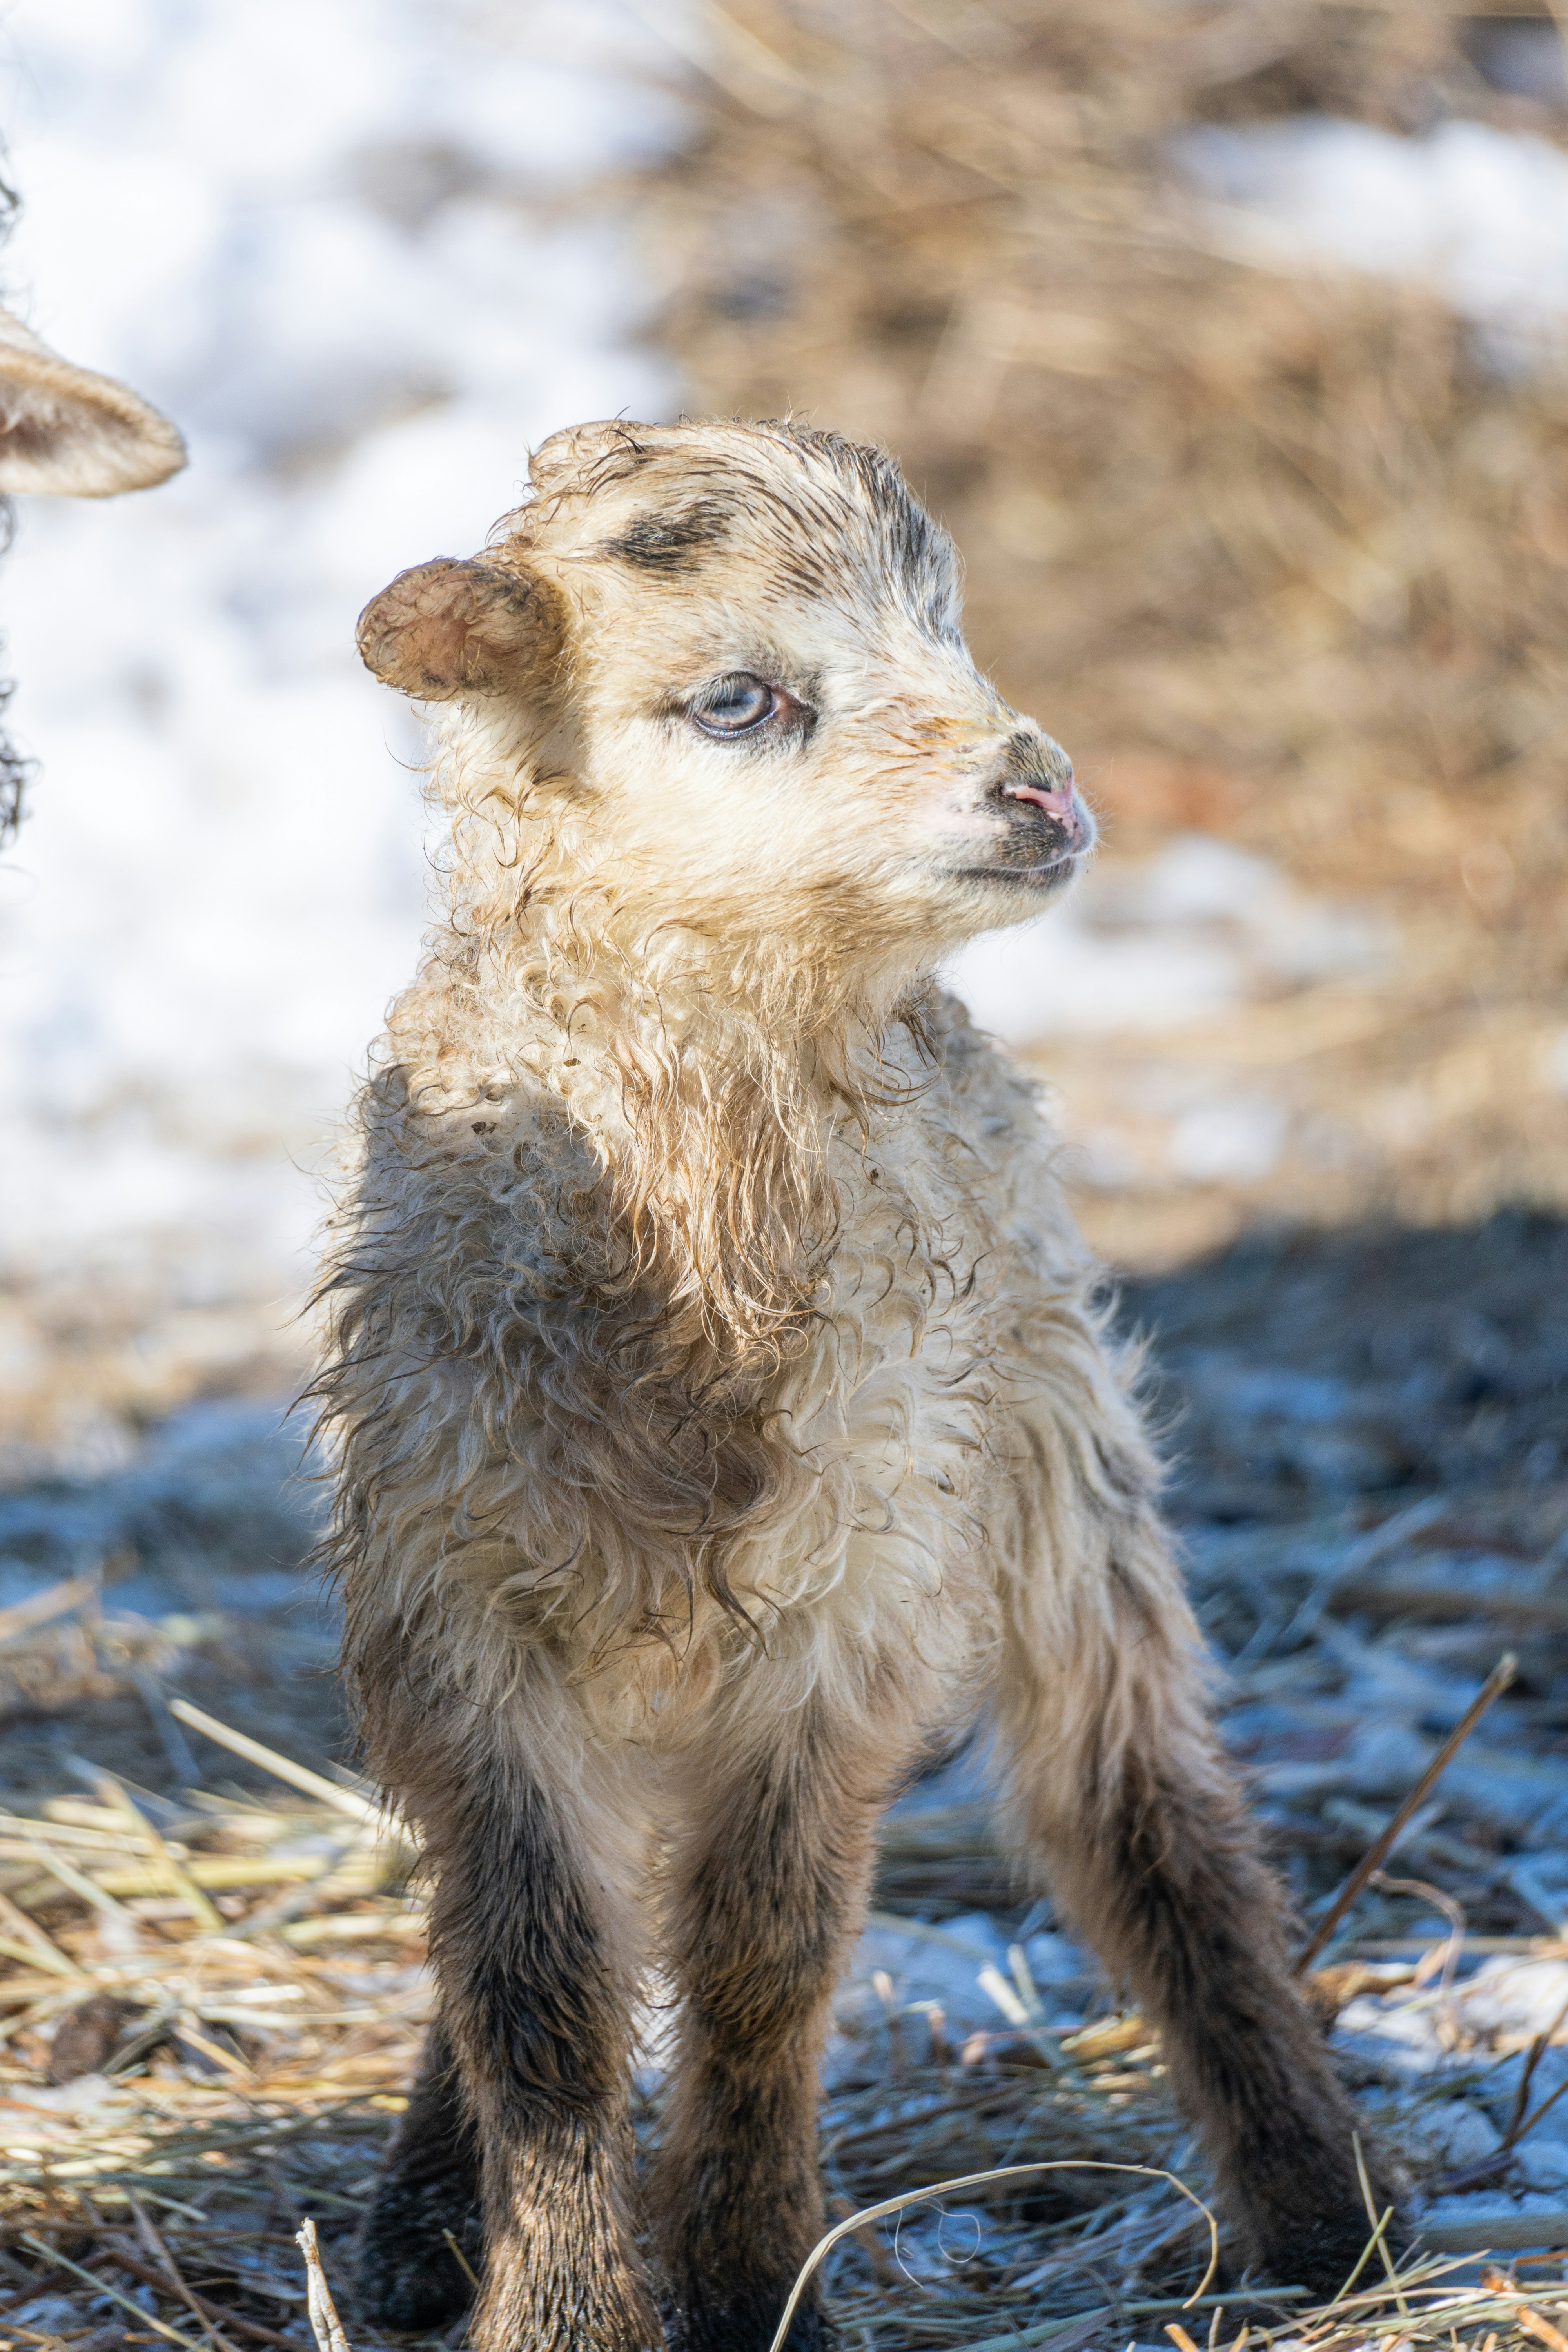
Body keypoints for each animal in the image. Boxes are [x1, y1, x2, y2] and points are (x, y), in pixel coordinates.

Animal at [322, 417, 1383, 2352]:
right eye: (738, 697)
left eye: (942, 622)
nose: (1041, 793)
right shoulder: (454, 1607)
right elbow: (533, 1980)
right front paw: (560, 2296)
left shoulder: (839, 1613)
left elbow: (761, 1967)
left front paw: (752, 2286)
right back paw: (424, 2224)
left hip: (1059, 1465)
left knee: (1146, 1820)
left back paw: (1323, 2212)